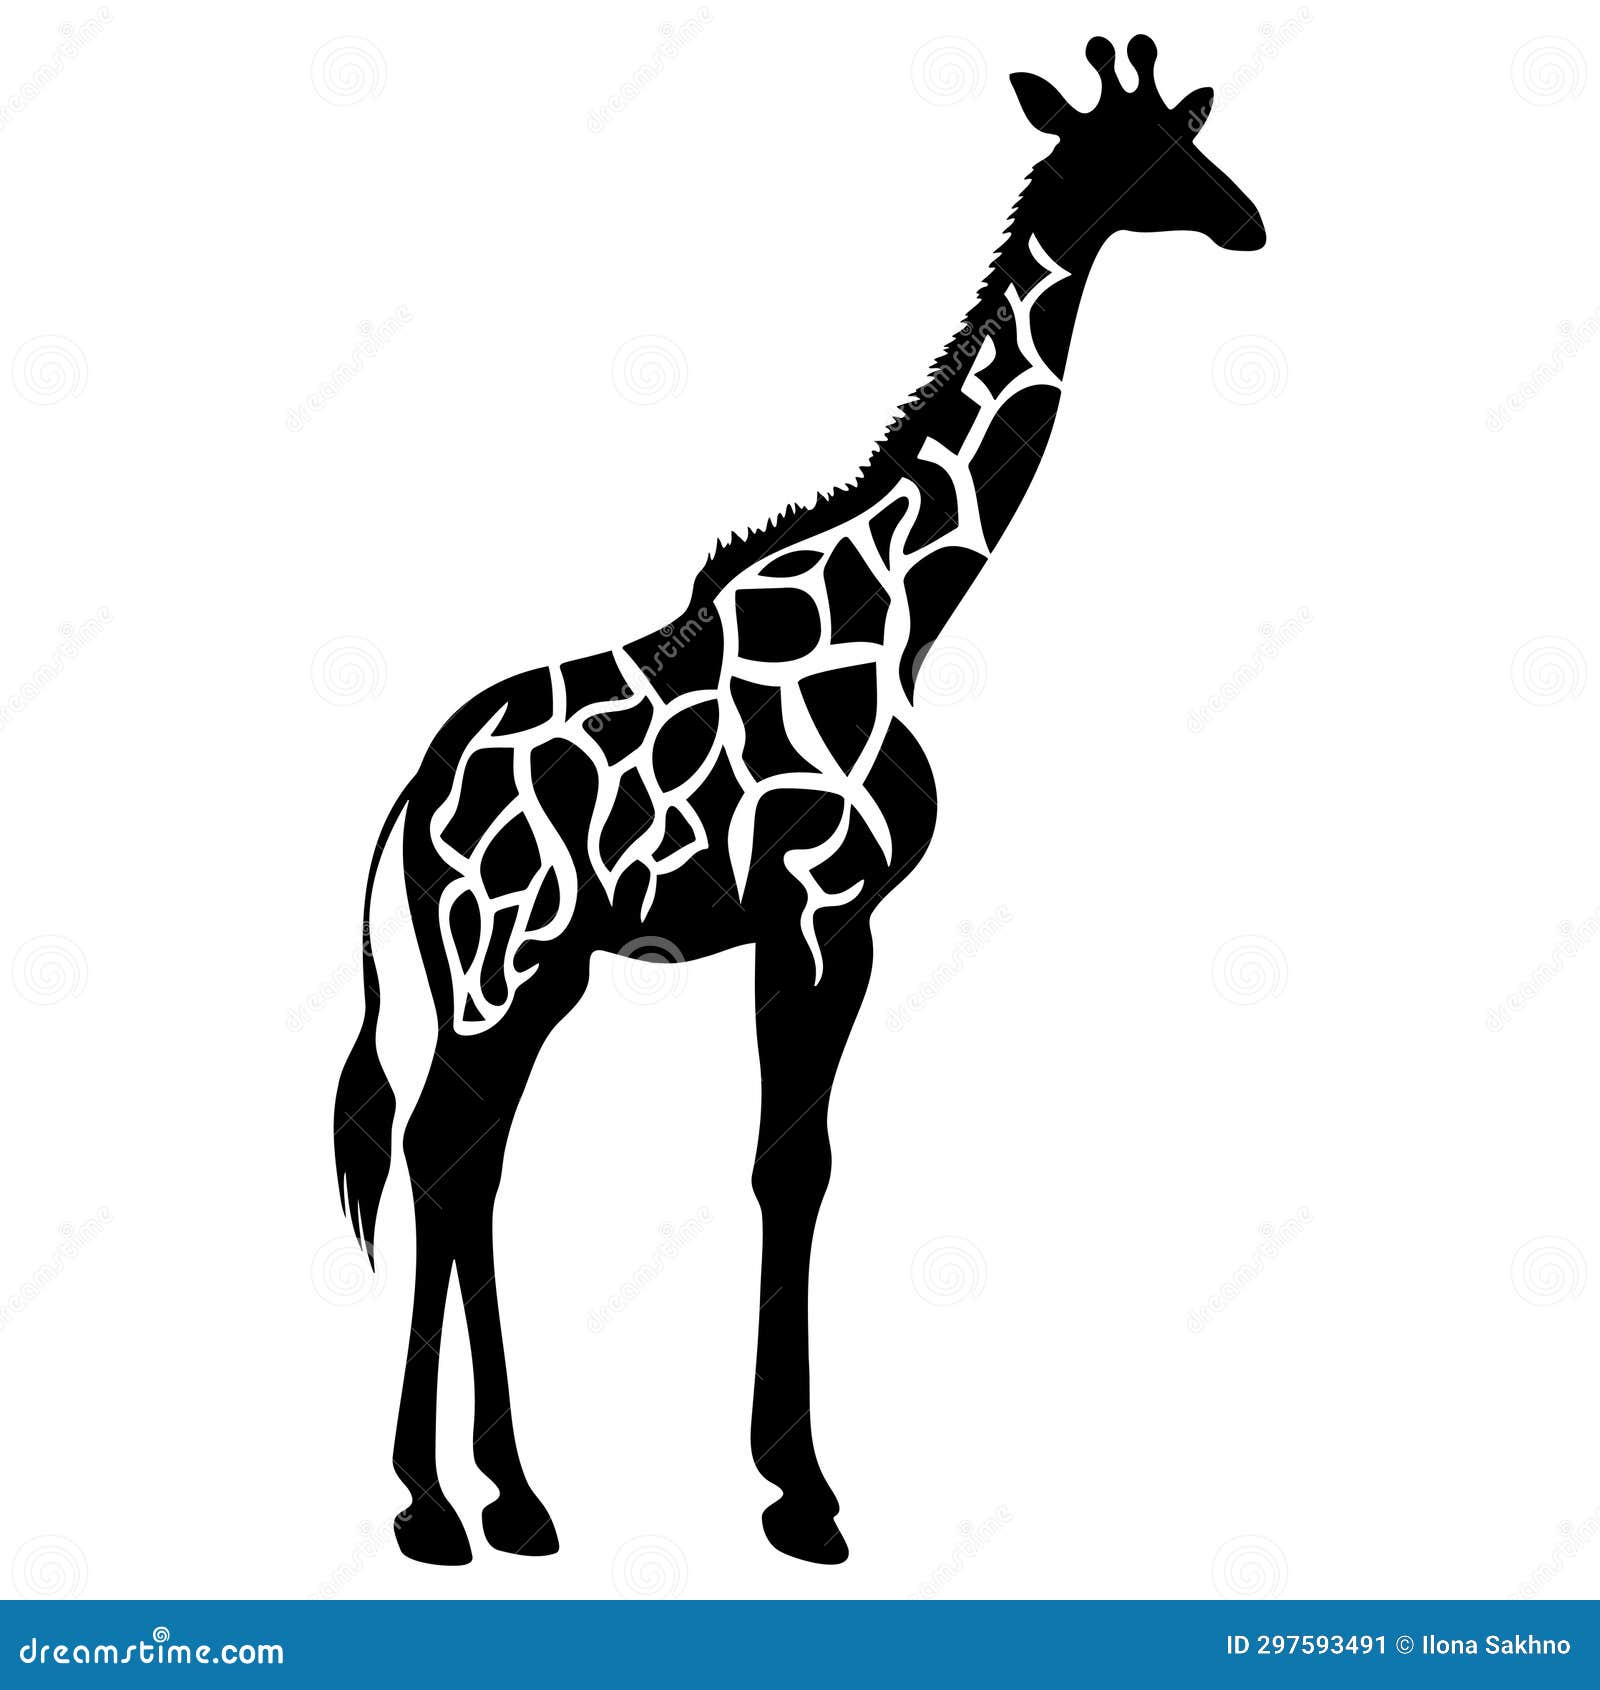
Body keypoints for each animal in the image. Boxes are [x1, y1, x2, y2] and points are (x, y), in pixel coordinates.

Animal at [332, 35, 1266, 1567]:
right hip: (492, 963)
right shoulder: (832, 908)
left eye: (1185, 139)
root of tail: (412, 795)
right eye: (1134, 155)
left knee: (463, 1161)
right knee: (444, 1153)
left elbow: (790, 1163)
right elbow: (798, 1167)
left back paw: (504, 1497)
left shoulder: (800, 922)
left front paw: (785, 1477)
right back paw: (433, 1503)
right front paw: (804, 1493)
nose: (1247, 220)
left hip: (538, 976)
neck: (900, 609)